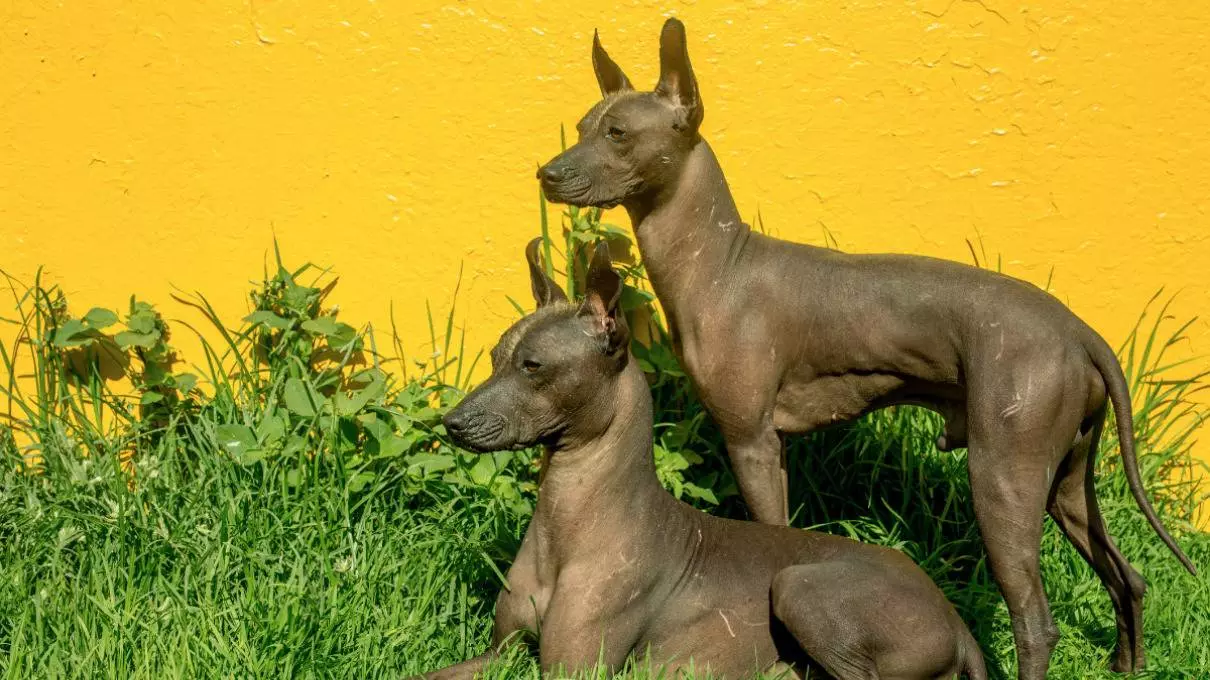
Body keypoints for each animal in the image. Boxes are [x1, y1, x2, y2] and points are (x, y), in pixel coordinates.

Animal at [411, 239, 987, 677]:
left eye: (533, 366)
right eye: (495, 358)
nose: (451, 423)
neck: (565, 524)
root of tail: (957, 620)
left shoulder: (573, 670)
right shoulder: (498, 652)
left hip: (800, 587)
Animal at [534, 17, 1195, 677]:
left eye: (618, 133)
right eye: (583, 125)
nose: (546, 174)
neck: (720, 264)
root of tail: (1079, 331)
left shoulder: (751, 442)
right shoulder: (772, 448)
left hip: (1005, 478)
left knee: (1036, 622)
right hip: (1065, 481)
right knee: (1128, 578)